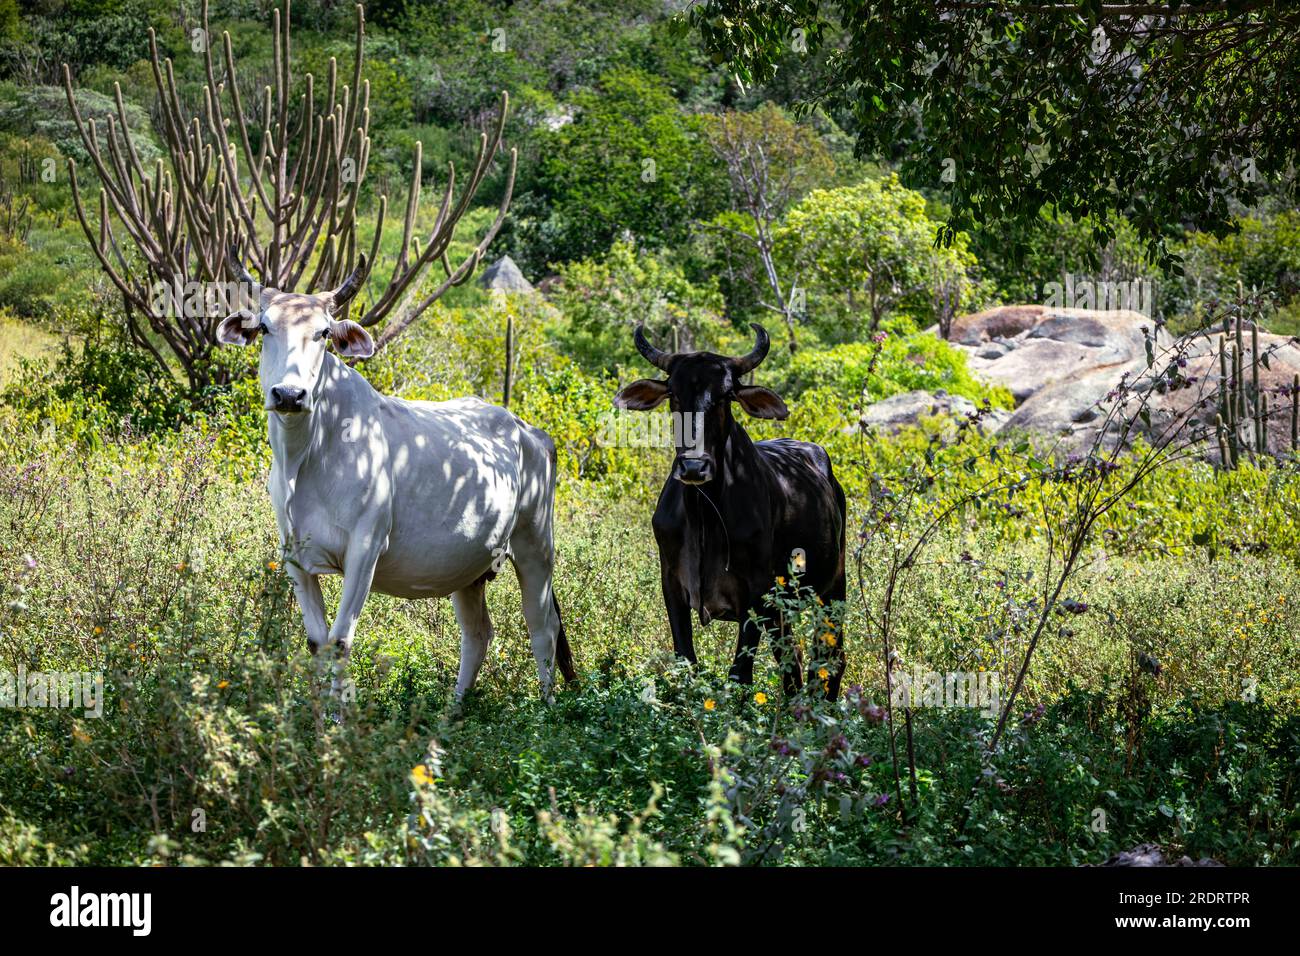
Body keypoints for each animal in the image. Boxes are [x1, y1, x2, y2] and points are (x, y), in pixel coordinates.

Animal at [216, 252, 576, 701]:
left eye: (323, 333)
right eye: (264, 327)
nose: (289, 395)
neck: (308, 458)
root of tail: (530, 431)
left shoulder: (365, 550)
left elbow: (340, 641)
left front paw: (341, 715)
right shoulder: (294, 556)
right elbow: (318, 643)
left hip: (535, 546)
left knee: (542, 628)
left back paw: (546, 706)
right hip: (471, 567)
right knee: (477, 634)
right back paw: (453, 709)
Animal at [613, 323, 847, 699]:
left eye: (724, 396)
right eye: (674, 393)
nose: (694, 467)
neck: (704, 515)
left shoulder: (755, 594)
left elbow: (740, 674)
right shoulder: (672, 585)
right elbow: (686, 662)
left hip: (833, 587)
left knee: (828, 655)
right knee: (793, 660)